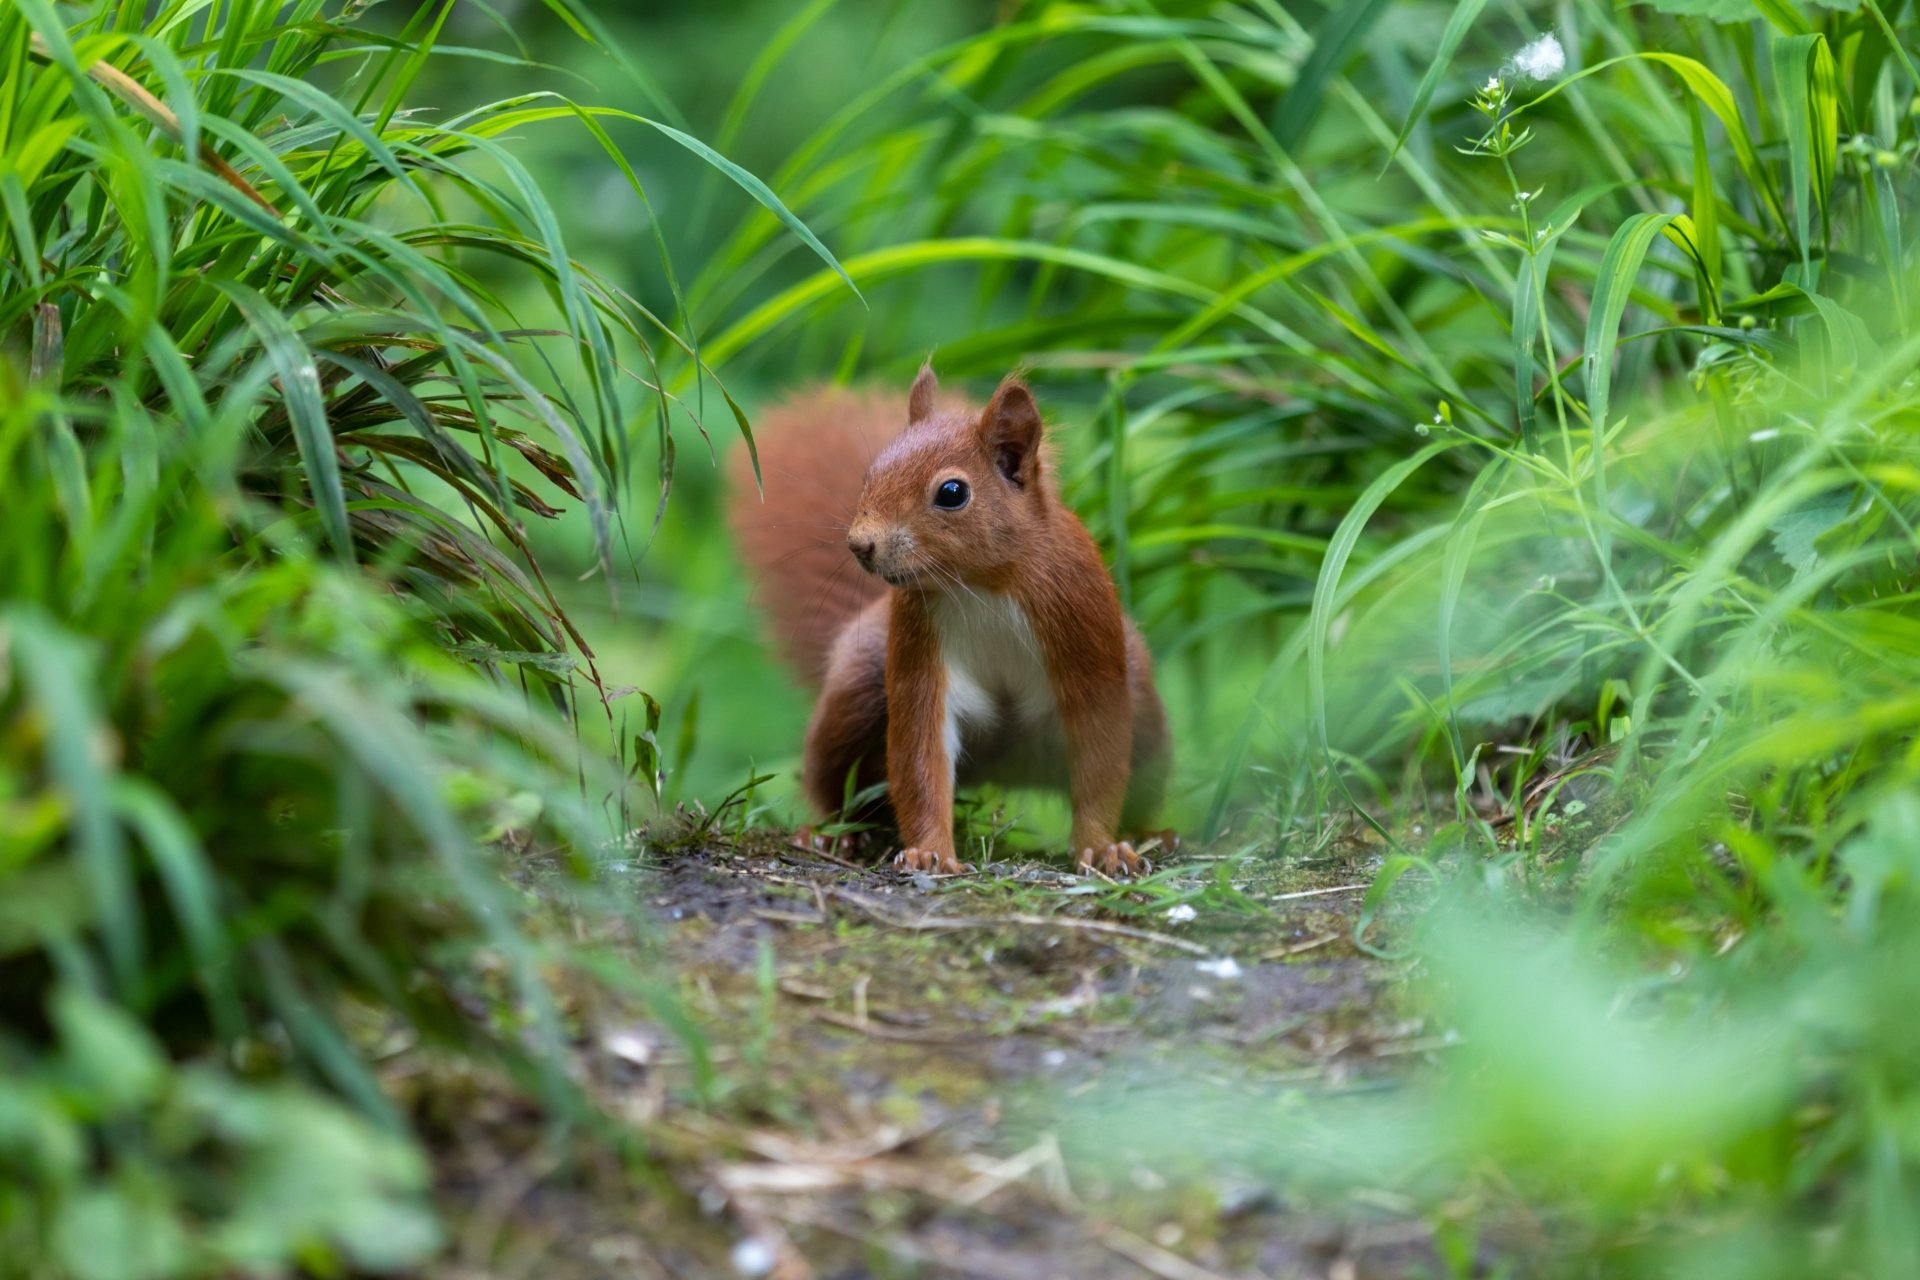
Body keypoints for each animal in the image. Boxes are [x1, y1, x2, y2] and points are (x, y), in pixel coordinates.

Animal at [728, 364, 1171, 877]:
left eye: (952, 492)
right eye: (870, 474)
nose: (860, 544)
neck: (983, 584)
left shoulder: (1084, 627)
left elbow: (1101, 757)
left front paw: (1101, 847)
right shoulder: (918, 644)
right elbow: (920, 756)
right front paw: (930, 851)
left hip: (1145, 713)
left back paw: (1152, 833)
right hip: (858, 688)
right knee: (841, 780)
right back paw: (835, 834)